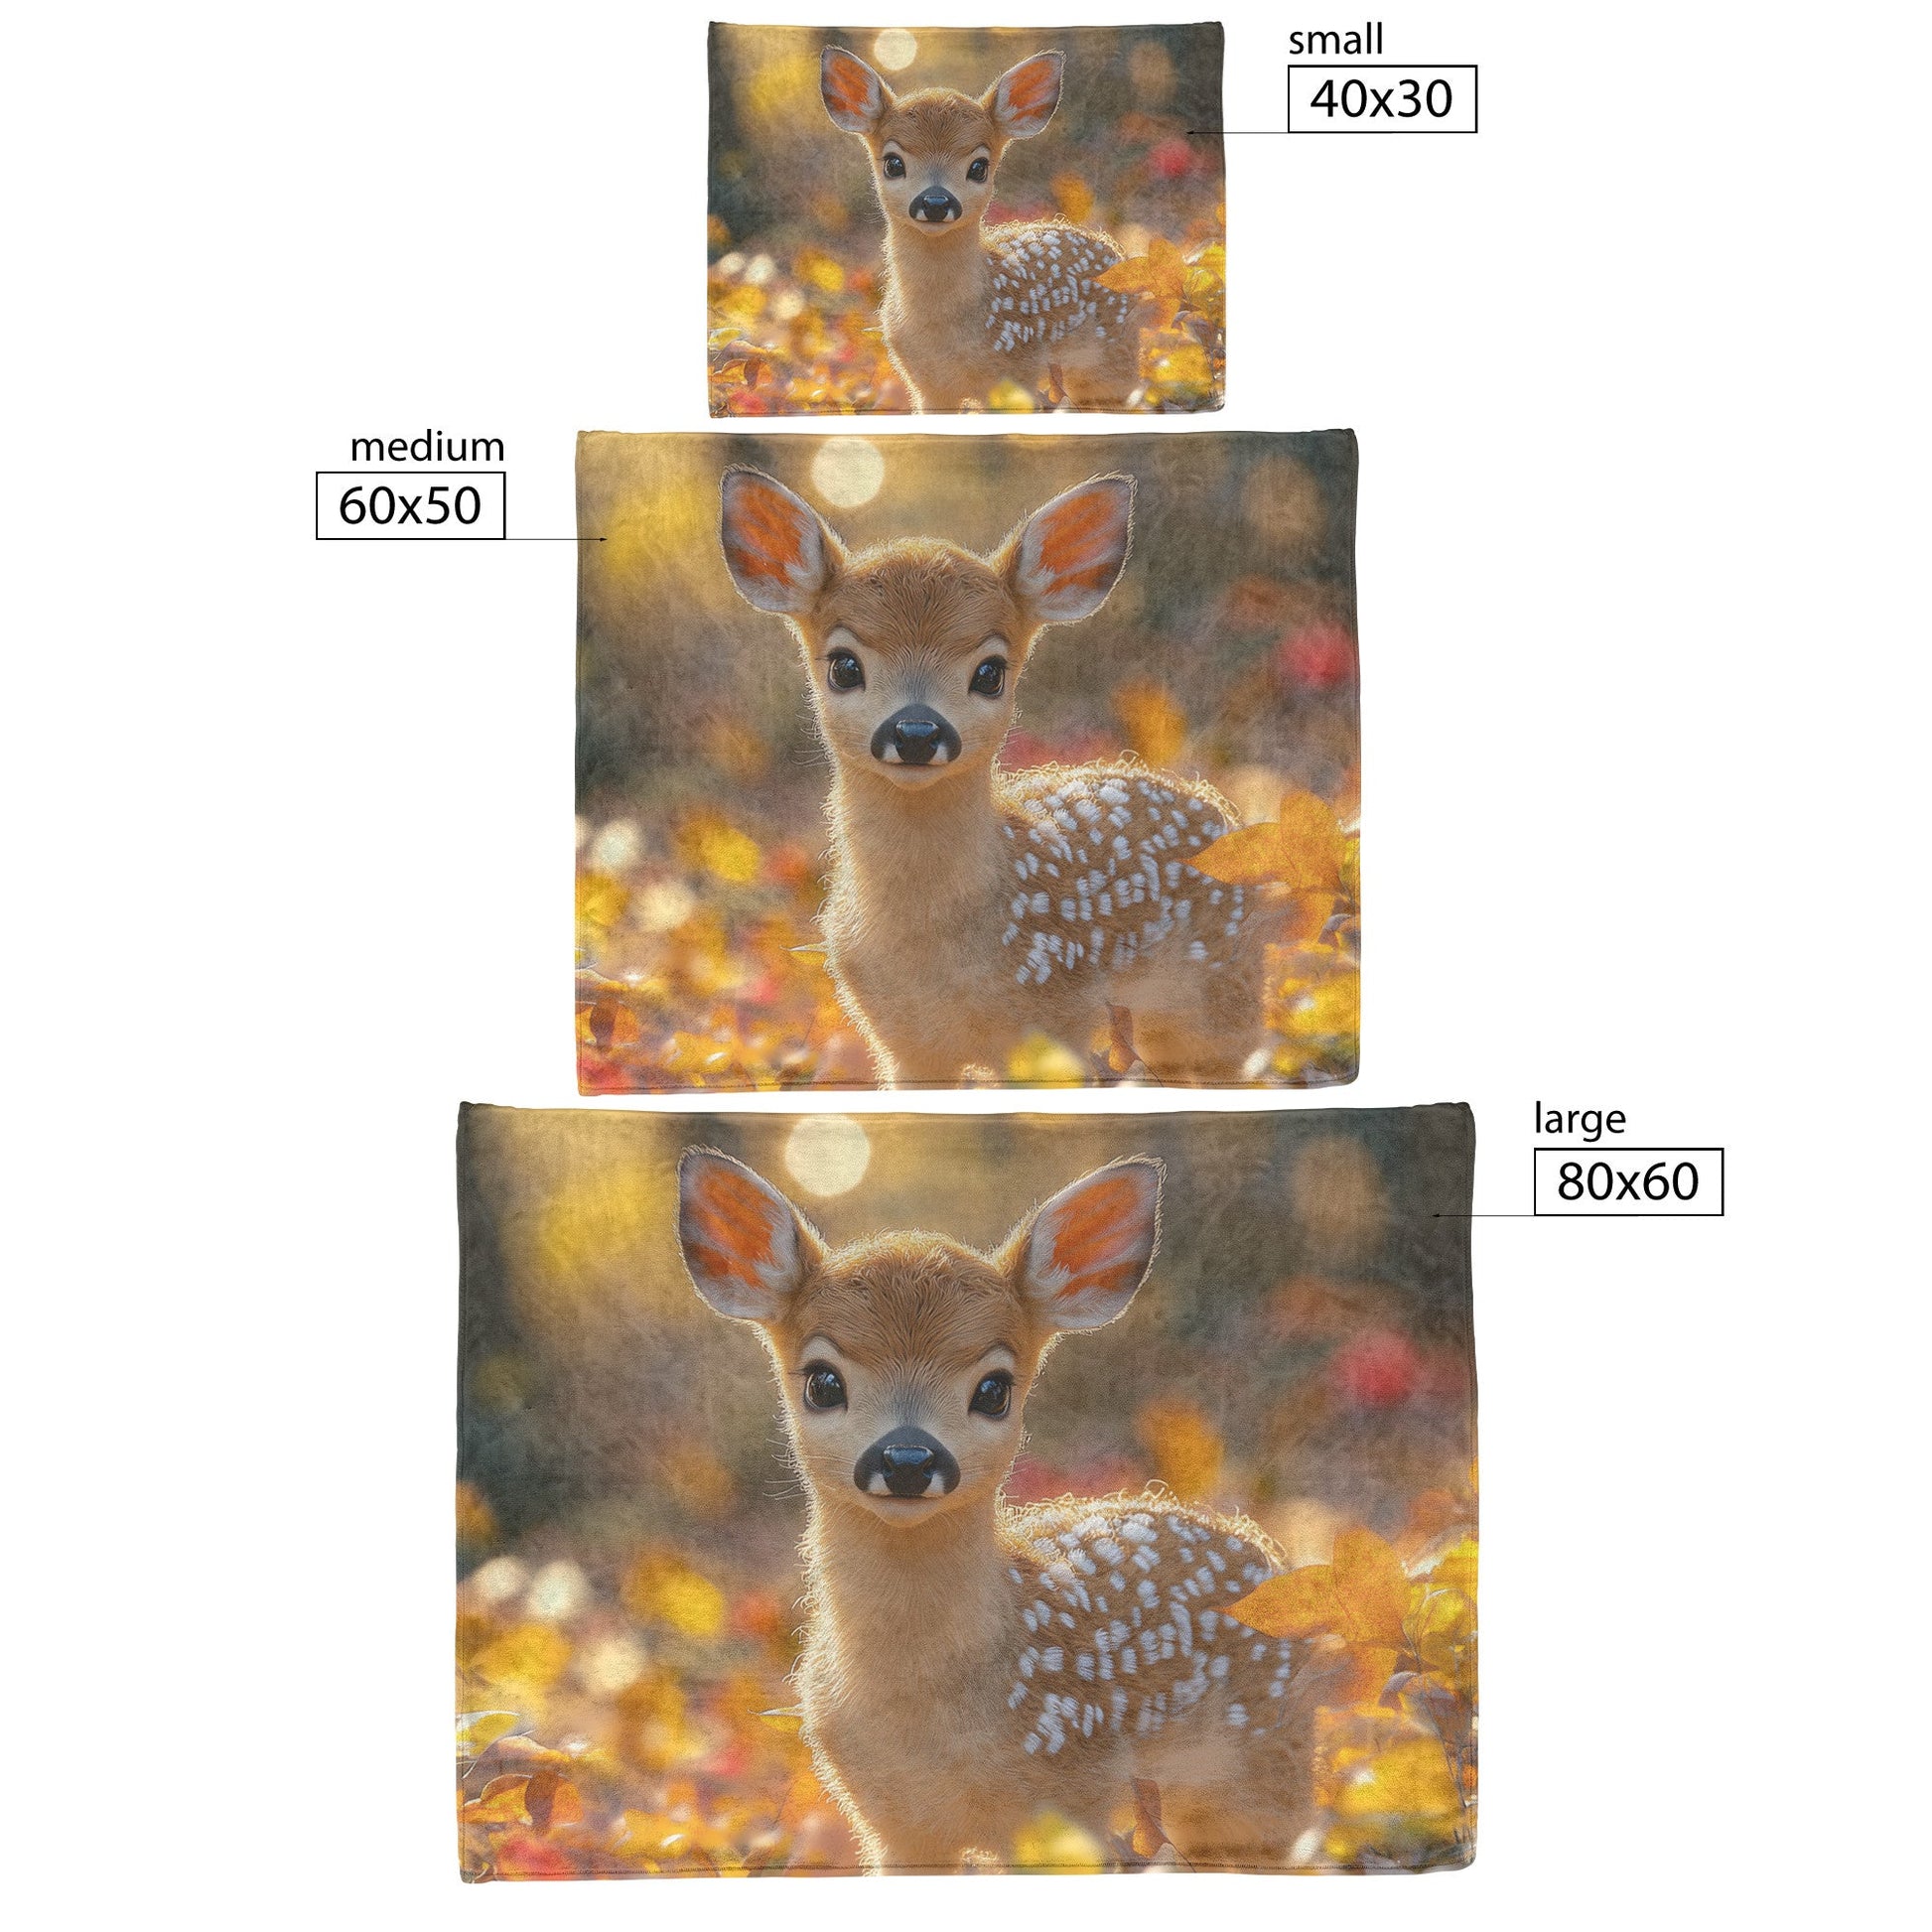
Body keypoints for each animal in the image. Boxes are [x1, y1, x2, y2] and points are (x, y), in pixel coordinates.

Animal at [676, 1146, 1330, 1873]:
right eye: (823, 1381)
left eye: (994, 1389)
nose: (908, 1459)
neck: (923, 1724)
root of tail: (1257, 1547)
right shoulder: (890, 1820)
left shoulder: (1071, 1786)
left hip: (1267, 1766)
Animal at [718, 465, 1268, 1087]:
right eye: (844, 666)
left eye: (990, 672)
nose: (916, 731)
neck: (930, 954)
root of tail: (1214, 806)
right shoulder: (901, 1040)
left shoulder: (1054, 1013)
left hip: (1221, 994)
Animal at [821, 46, 1143, 411]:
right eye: (893, 163)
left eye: (979, 167)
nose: (935, 202)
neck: (943, 333)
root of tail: (1110, 247)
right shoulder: (926, 384)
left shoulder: (1016, 369)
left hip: (1115, 356)